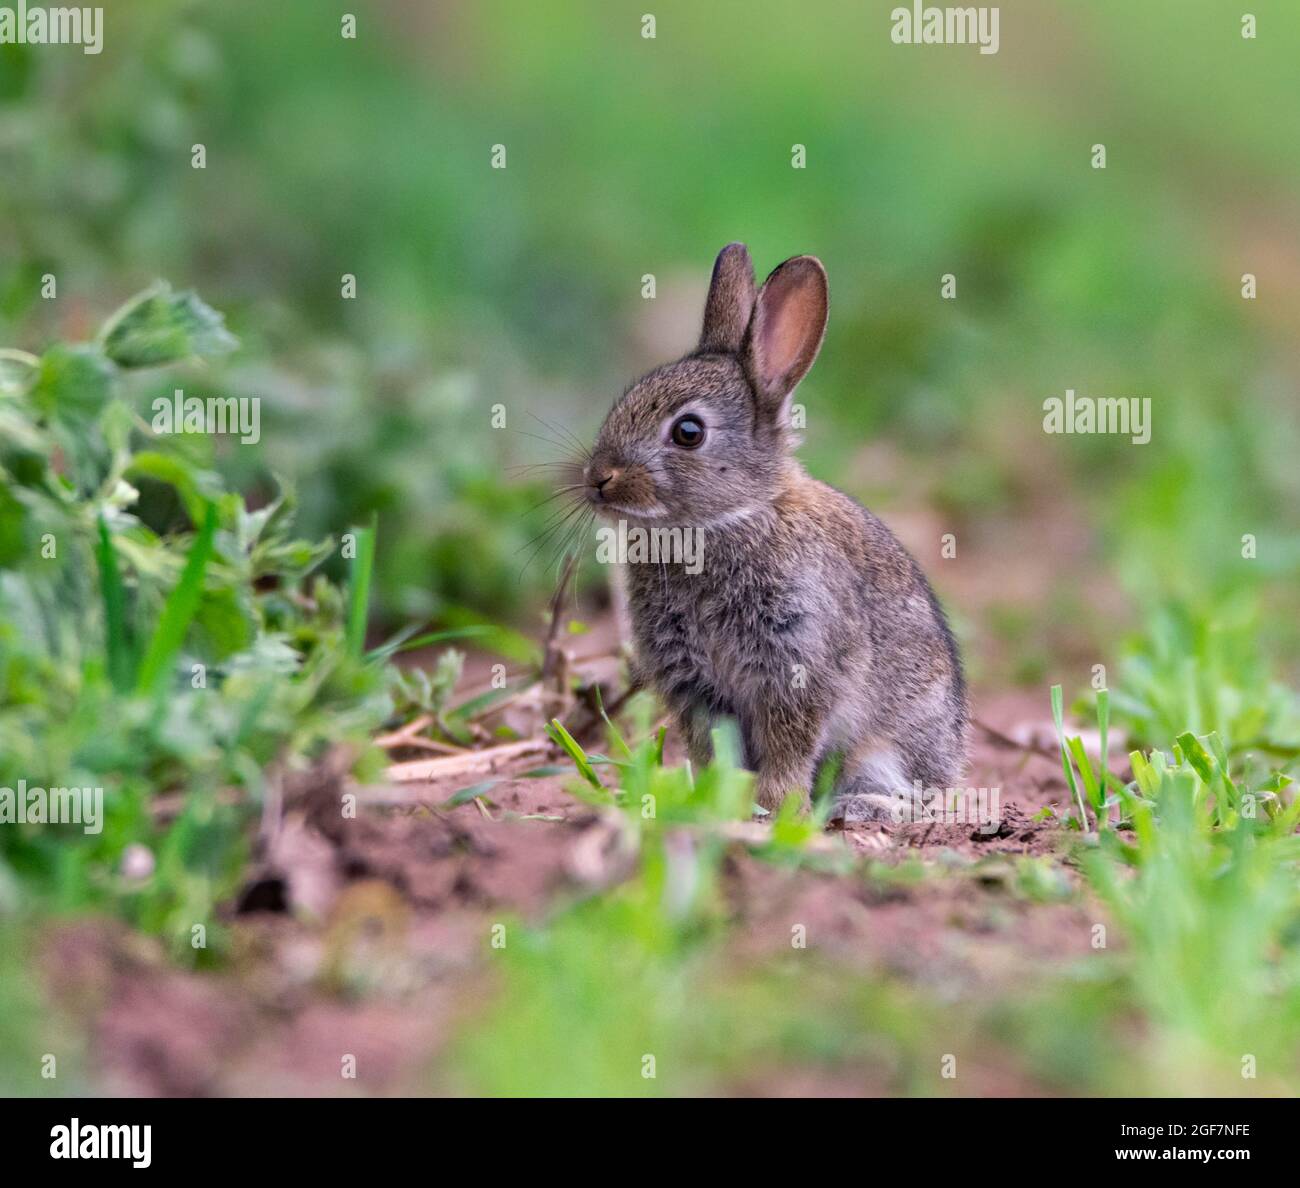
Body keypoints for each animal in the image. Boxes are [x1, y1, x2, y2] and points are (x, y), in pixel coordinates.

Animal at [583, 243, 968, 822]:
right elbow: (713, 744)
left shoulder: (797, 663)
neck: (729, 519)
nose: (599, 479)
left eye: (688, 432)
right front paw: (717, 796)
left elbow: (790, 742)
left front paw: (774, 803)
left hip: (888, 747)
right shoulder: (696, 684)